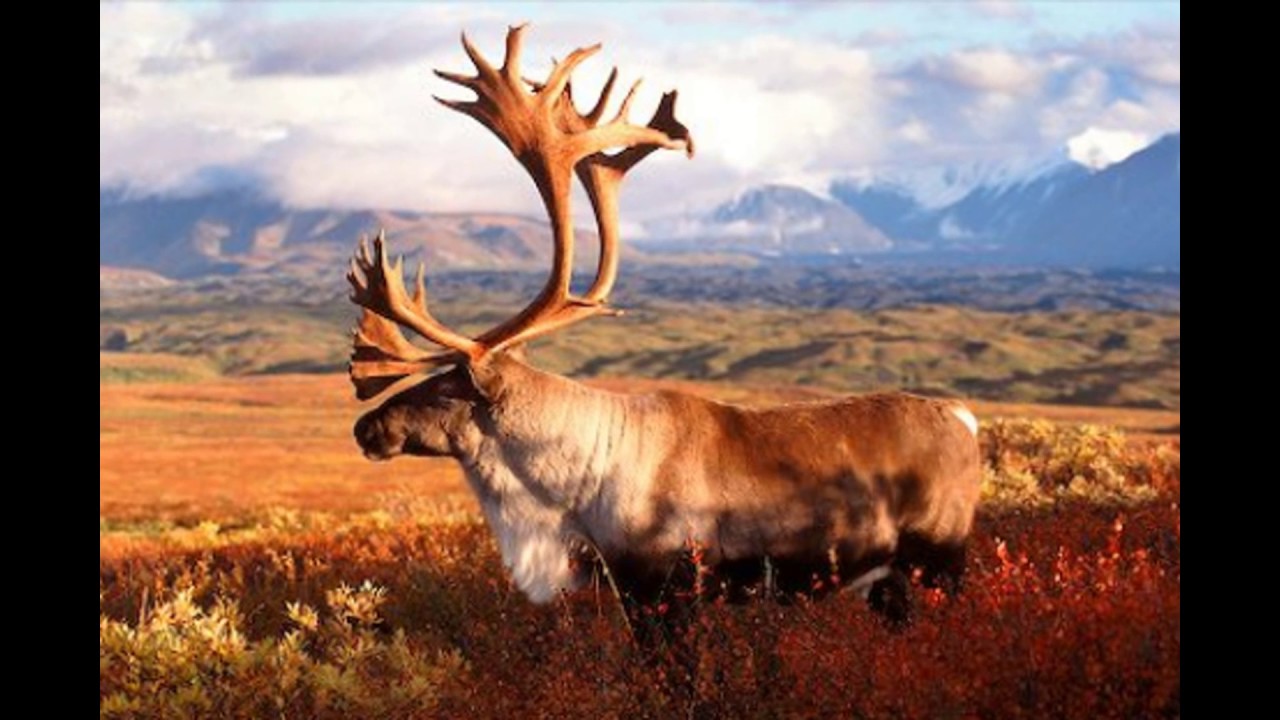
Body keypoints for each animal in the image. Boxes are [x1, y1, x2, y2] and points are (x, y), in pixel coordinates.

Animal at [346, 25, 982, 627]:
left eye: (446, 387)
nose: (364, 428)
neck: (577, 480)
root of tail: (967, 419)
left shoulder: (666, 587)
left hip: (938, 561)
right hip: (888, 583)